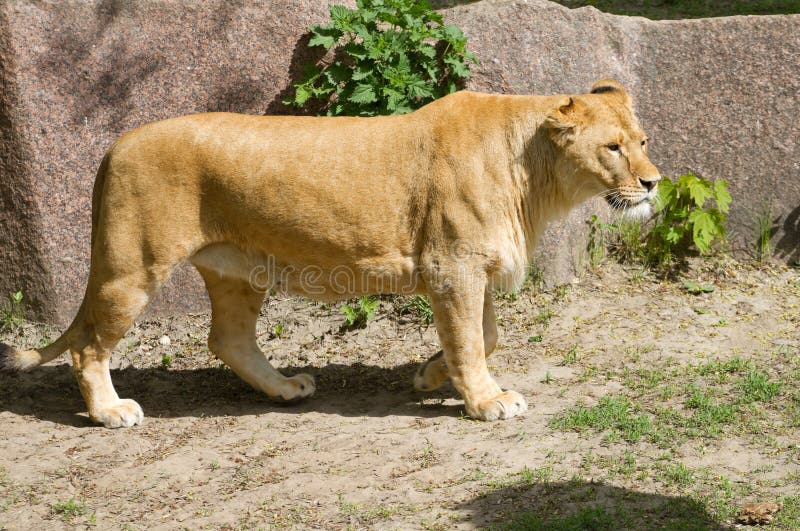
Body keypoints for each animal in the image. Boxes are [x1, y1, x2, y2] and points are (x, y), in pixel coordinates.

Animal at [0, 78, 660, 428]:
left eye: (644, 141)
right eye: (613, 148)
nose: (653, 183)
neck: (532, 171)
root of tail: (114, 145)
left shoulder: (473, 268)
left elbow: (482, 336)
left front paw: (429, 374)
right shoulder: (453, 266)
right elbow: (473, 341)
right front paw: (485, 401)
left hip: (237, 269)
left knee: (228, 339)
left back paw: (286, 389)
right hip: (131, 265)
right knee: (88, 346)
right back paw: (110, 412)